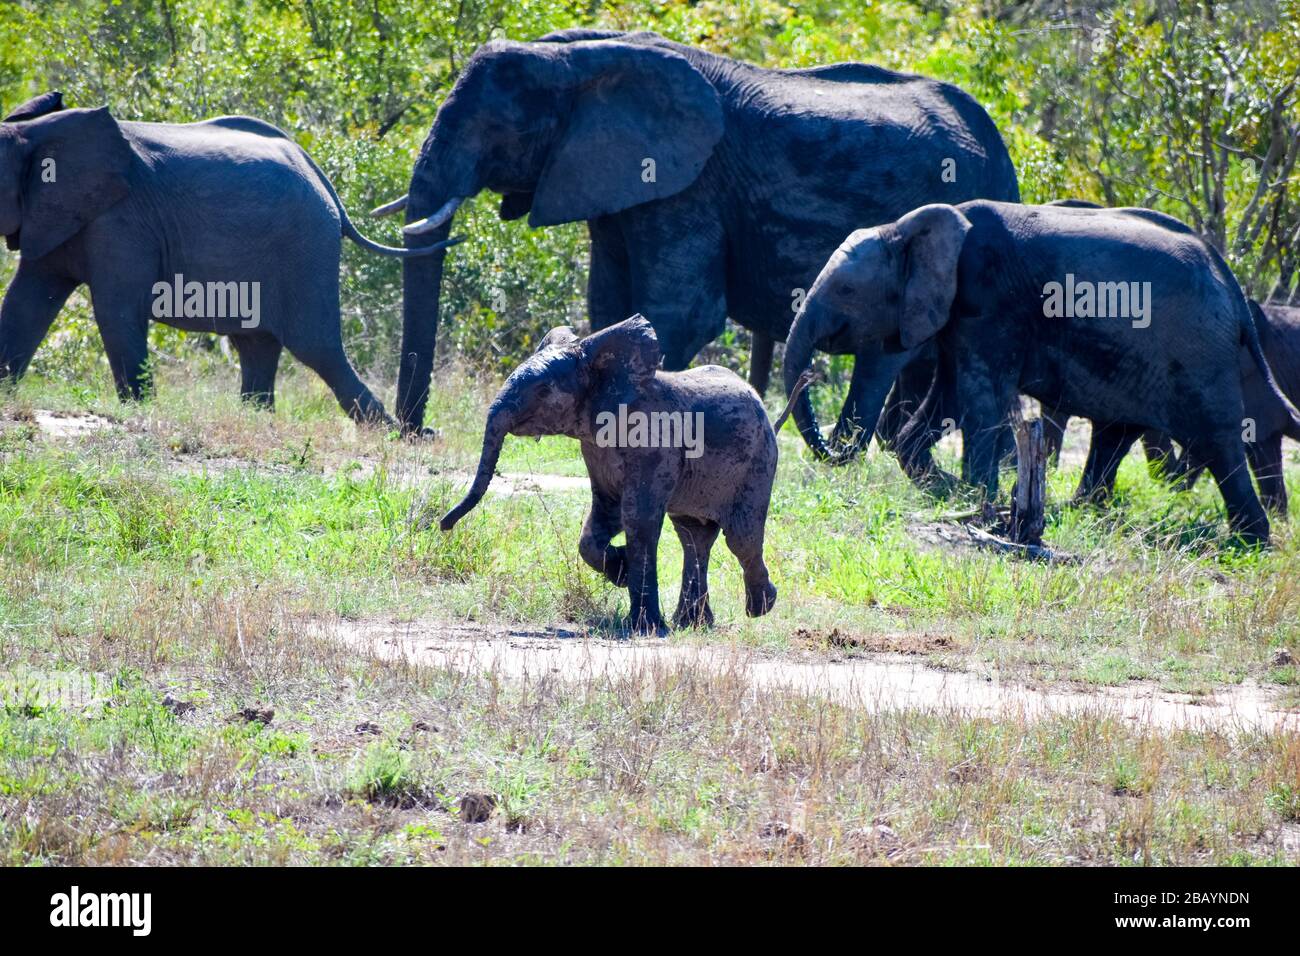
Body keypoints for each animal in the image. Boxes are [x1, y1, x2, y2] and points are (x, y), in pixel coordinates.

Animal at [0, 92, 457, 423]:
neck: (33, 133)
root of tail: (318, 174)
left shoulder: (122, 221)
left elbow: (116, 310)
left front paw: (143, 410)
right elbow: (25, 304)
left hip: (306, 245)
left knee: (317, 348)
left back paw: (390, 433)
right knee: (257, 344)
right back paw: (260, 418)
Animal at [372, 28, 1019, 436]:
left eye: (497, 128)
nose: (421, 431)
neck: (581, 57)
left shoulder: (693, 183)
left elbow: (681, 312)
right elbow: (611, 305)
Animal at [439, 315, 812, 634]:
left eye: (543, 391)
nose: (444, 525)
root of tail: (765, 410)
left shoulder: (656, 441)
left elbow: (637, 518)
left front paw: (644, 625)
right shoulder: (596, 450)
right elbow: (602, 517)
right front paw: (620, 569)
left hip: (759, 463)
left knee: (741, 538)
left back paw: (760, 607)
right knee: (694, 537)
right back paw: (692, 624)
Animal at [783, 199, 1300, 544]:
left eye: (846, 291)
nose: (811, 377)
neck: (908, 227)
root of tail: (1231, 284)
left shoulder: (990, 301)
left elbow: (979, 398)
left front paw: (975, 499)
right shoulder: (963, 316)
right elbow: (949, 398)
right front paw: (952, 492)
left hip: (1196, 354)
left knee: (1217, 441)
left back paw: (1249, 542)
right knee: (1115, 434)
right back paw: (1080, 511)